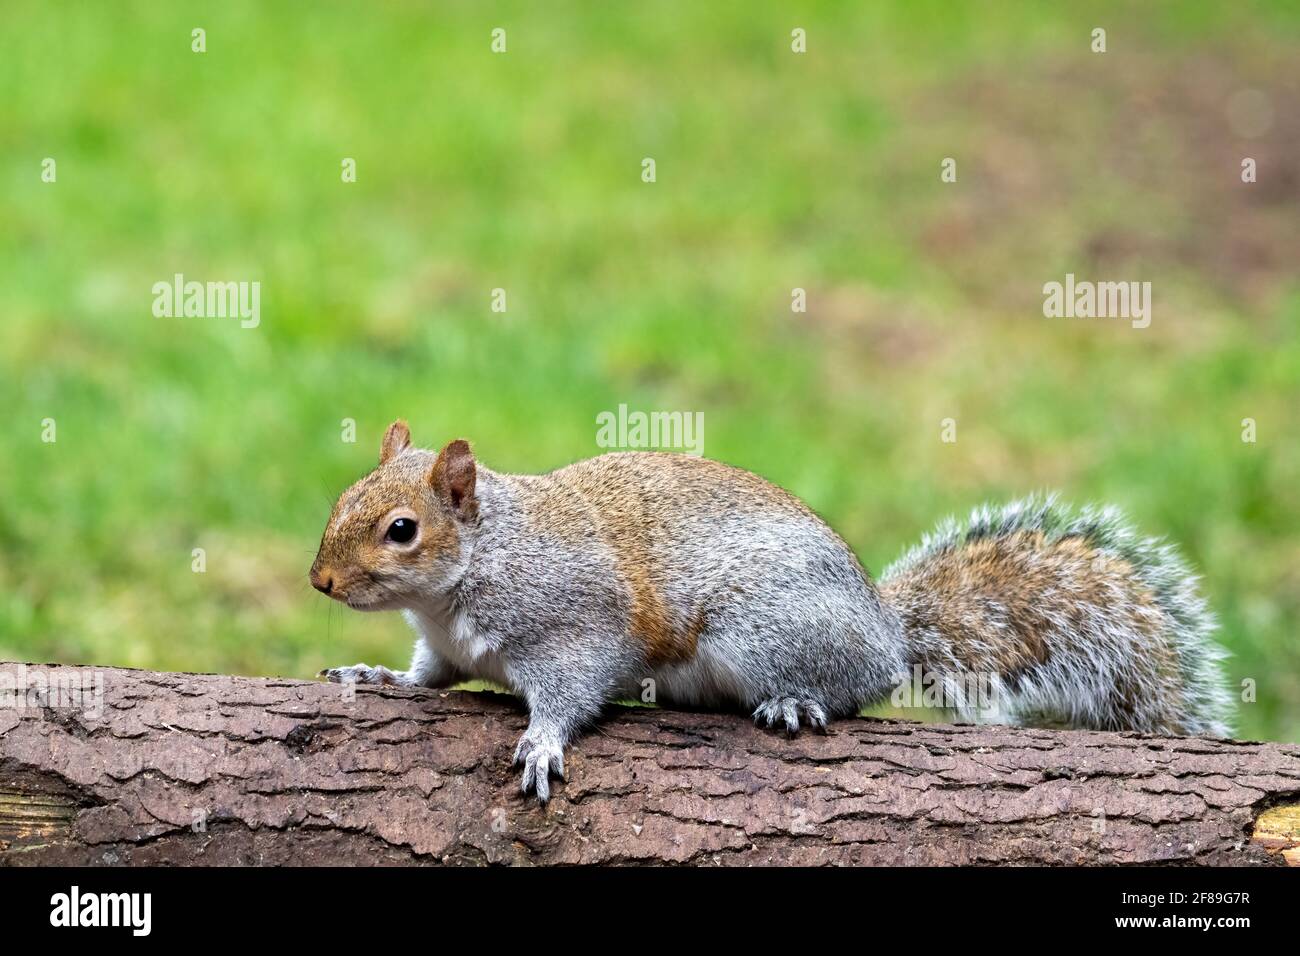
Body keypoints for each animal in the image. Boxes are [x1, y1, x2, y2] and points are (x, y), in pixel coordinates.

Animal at [310, 421, 1233, 802]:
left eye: (402, 529)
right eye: (345, 492)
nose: (319, 582)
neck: (470, 572)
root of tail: (884, 628)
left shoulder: (573, 626)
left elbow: (573, 690)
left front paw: (541, 743)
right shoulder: (447, 649)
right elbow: (427, 679)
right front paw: (376, 674)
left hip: (757, 632)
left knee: (856, 689)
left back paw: (797, 702)